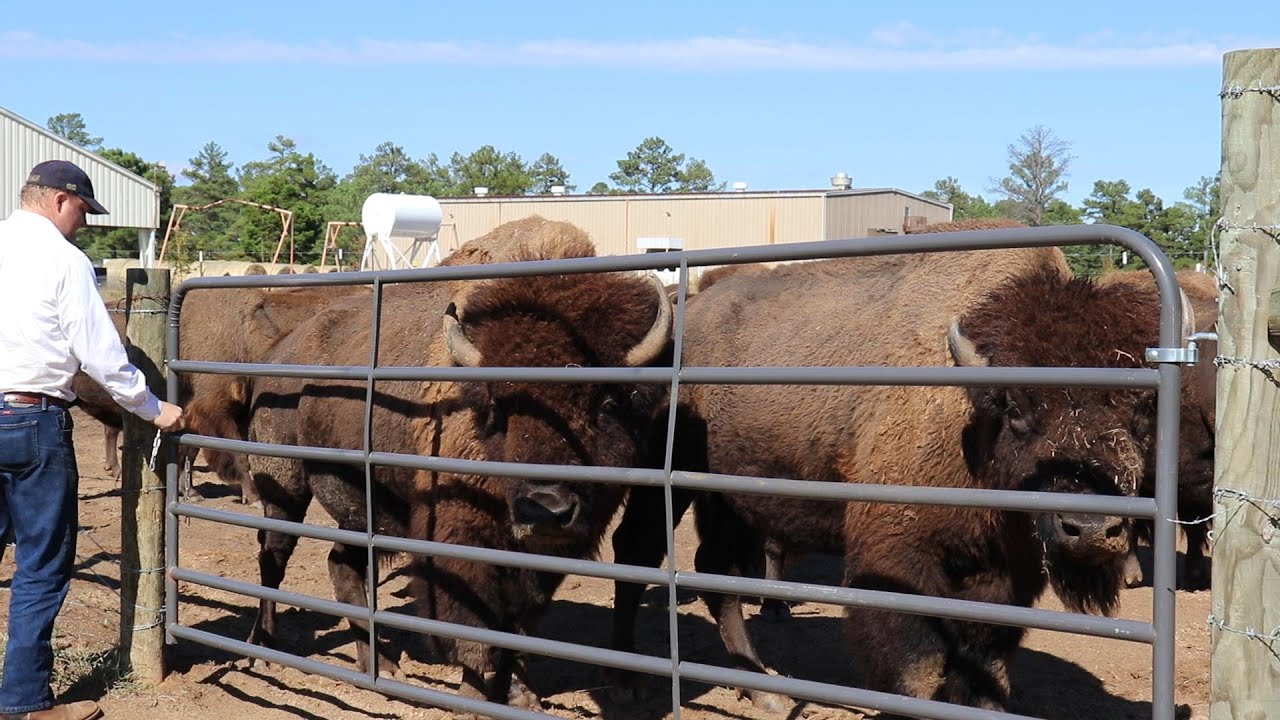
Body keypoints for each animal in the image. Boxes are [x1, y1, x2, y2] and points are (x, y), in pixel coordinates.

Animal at [242, 221, 672, 712]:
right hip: (284, 485)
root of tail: (282, 349)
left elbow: (519, 623)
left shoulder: (542, 557)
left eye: (607, 403)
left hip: (363, 511)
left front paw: (523, 694)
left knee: (343, 566)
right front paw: (476, 691)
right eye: (497, 406)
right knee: (273, 556)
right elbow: (474, 623)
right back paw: (264, 648)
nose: (546, 509)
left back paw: (381, 666)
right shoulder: (457, 538)